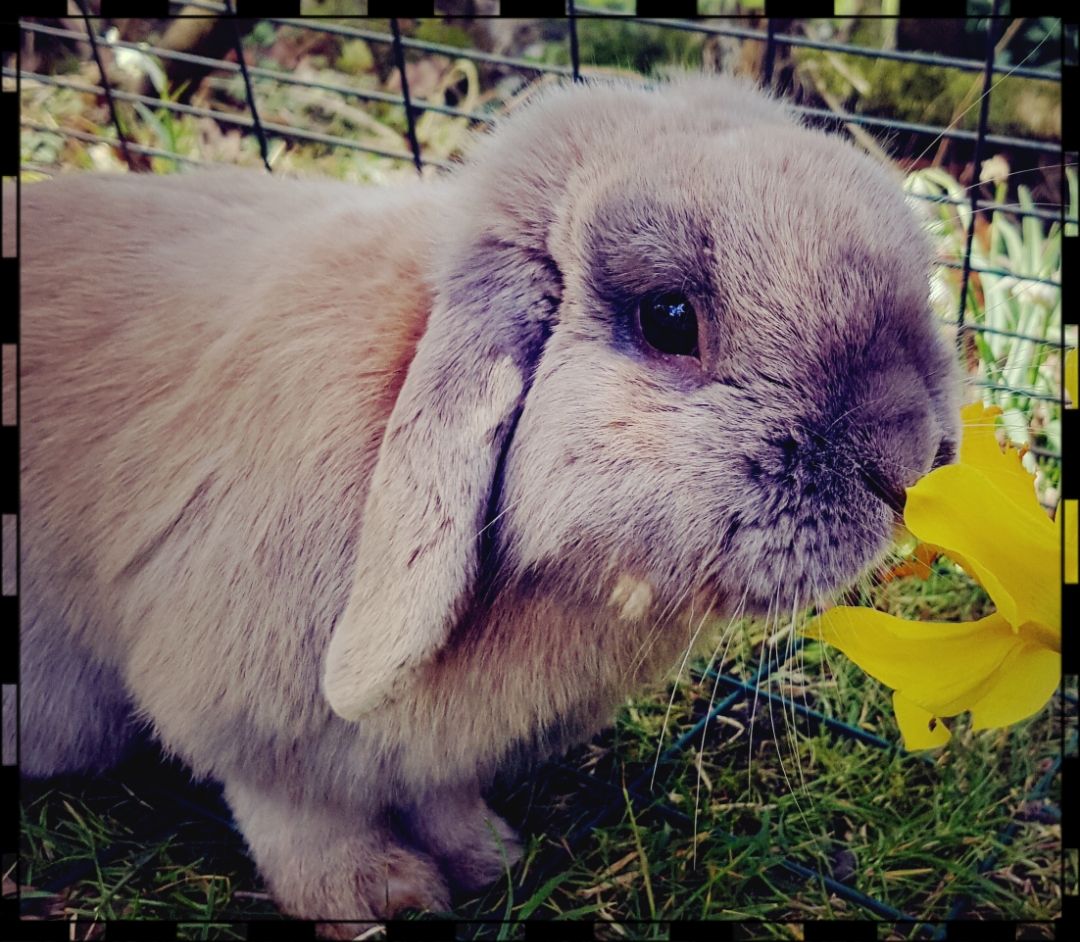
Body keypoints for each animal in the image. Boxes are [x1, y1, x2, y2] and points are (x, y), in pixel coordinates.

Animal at [3, 73, 960, 933]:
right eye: (669, 317)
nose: (909, 463)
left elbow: (437, 794)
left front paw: (486, 857)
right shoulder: (245, 708)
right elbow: (297, 813)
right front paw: (373, 897)